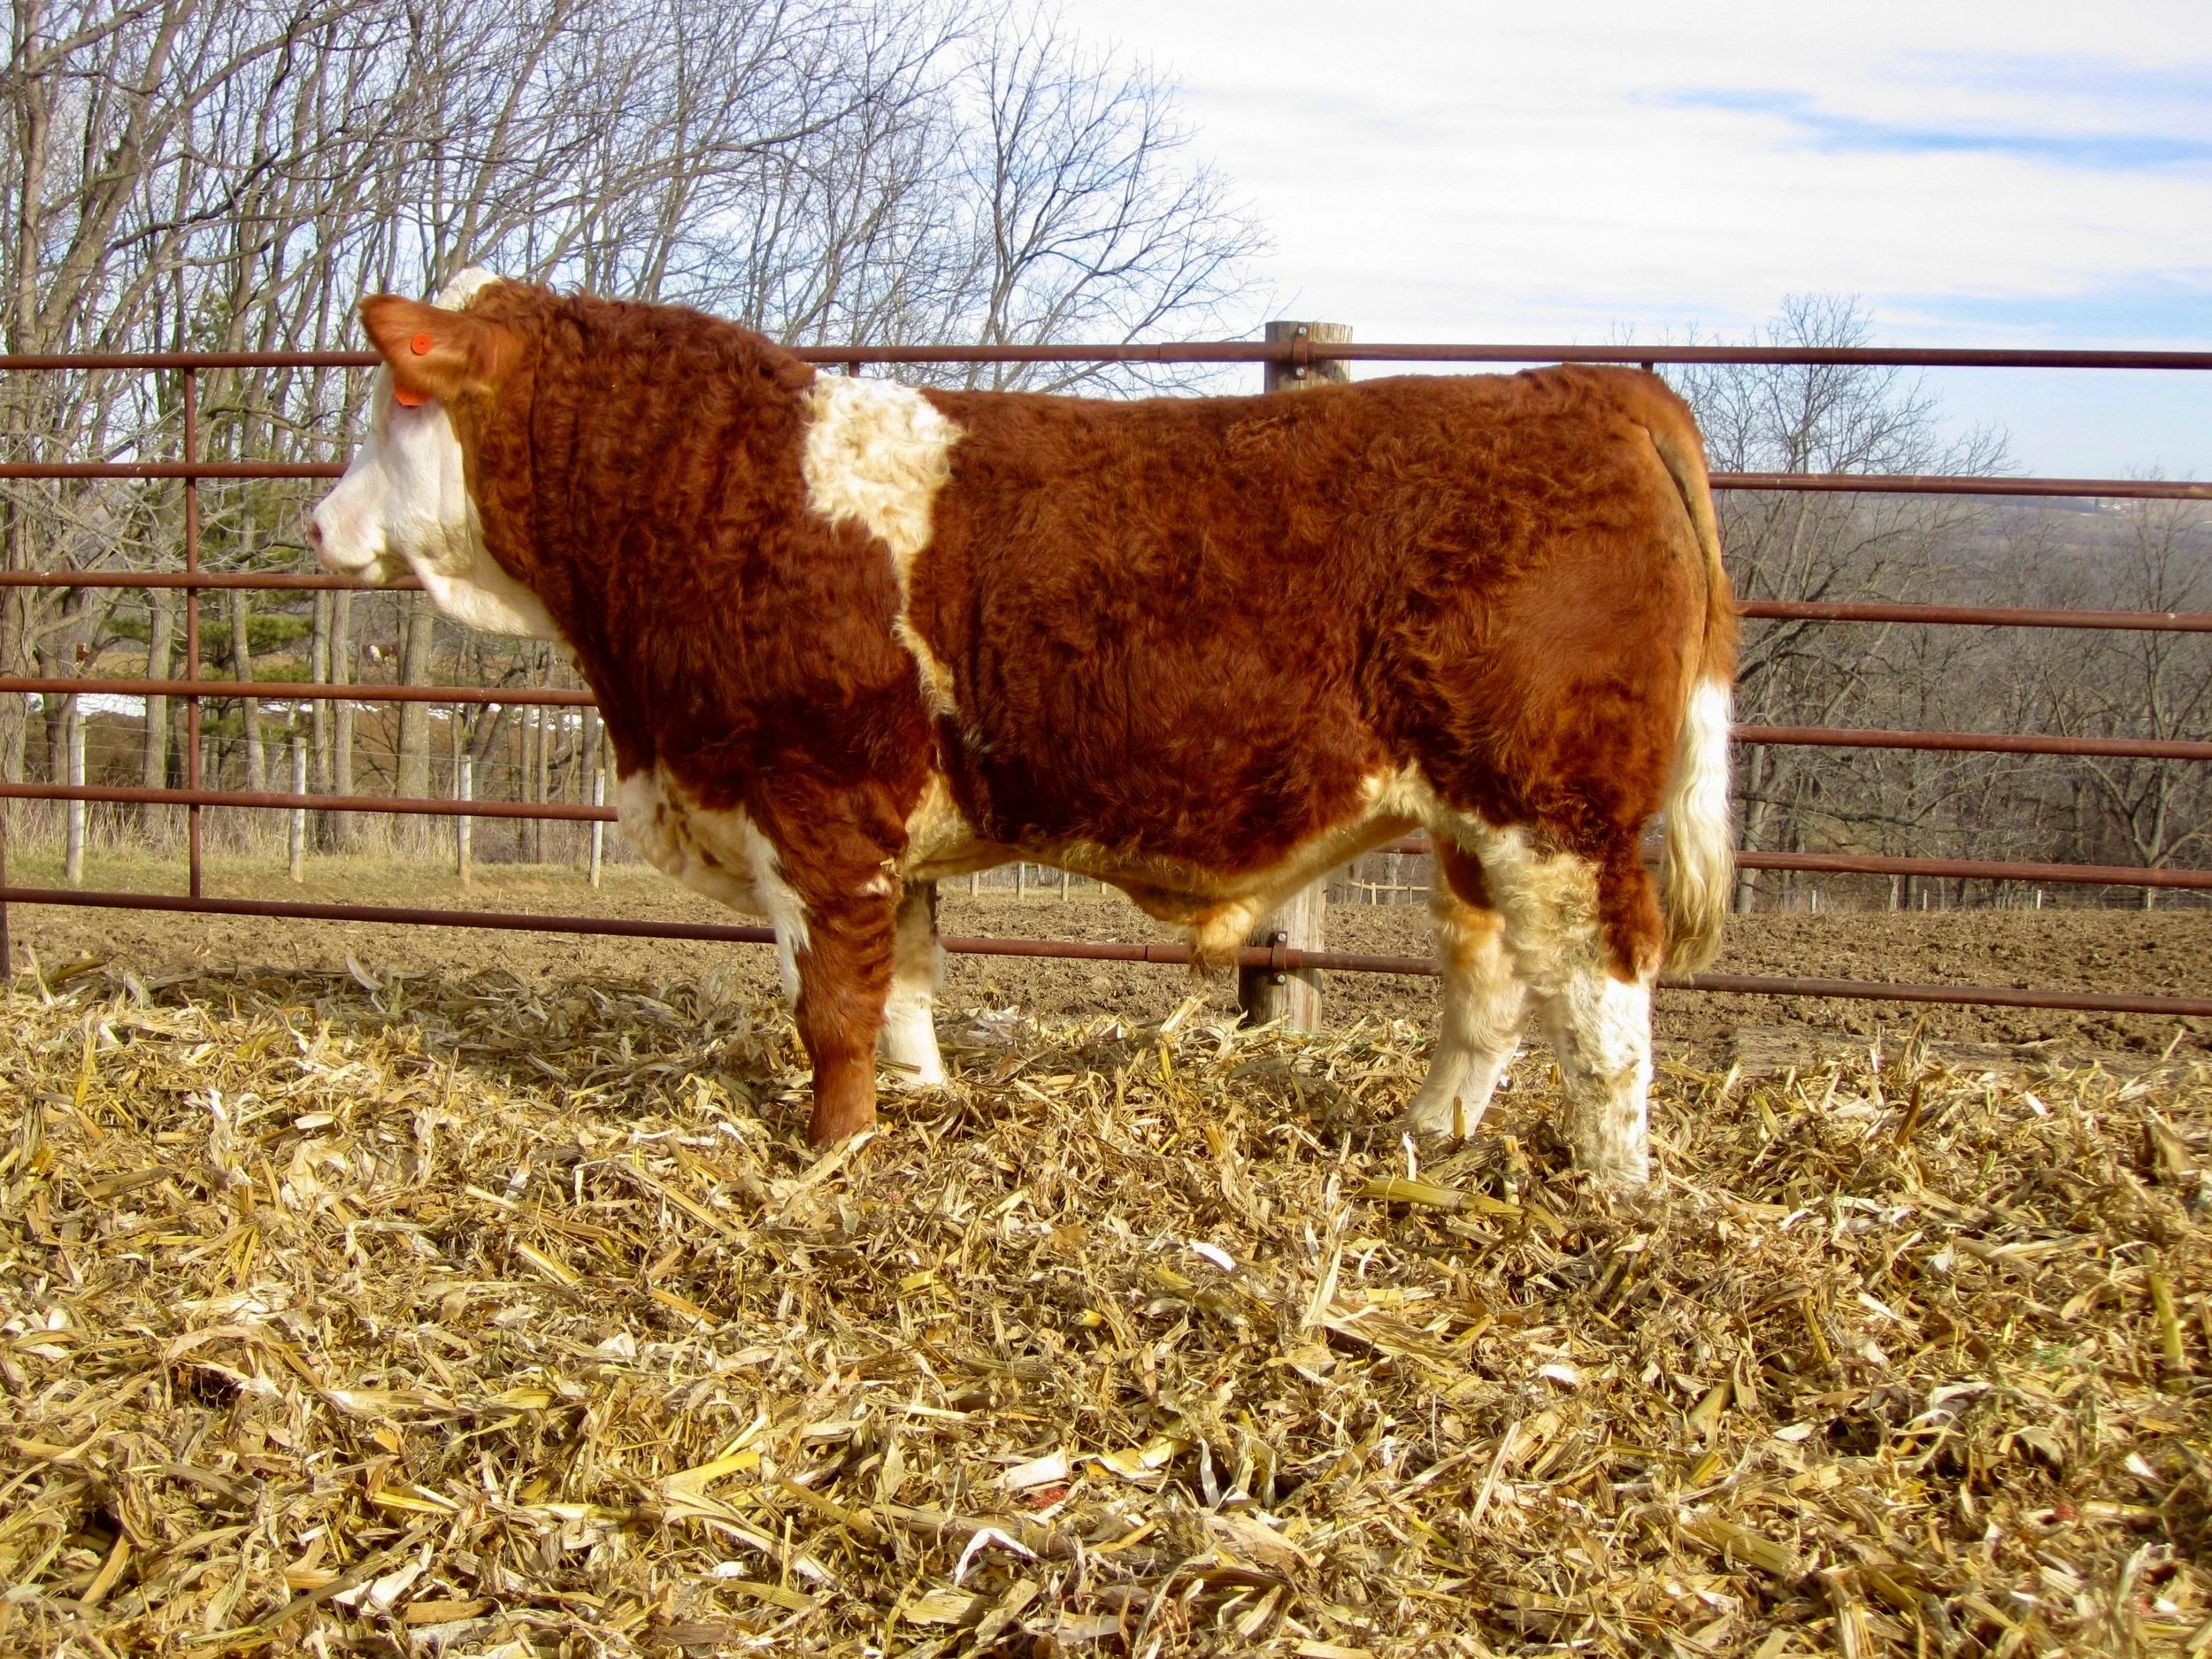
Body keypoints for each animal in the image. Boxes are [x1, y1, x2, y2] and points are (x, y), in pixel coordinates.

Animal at [310, 270, 1736, 1185]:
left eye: (395, 402)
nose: (319, 522)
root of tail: (1585, 387)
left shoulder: (817, 805)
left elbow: (832, 1008)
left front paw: (831, 1153)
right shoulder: (884, 836)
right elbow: (905, 985)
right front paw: (923, 1106)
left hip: (1558, 809)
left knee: (1606, 989)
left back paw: (1616, 1185)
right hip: (1472, 819)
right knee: (1487, 980)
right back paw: (1429, 1135)